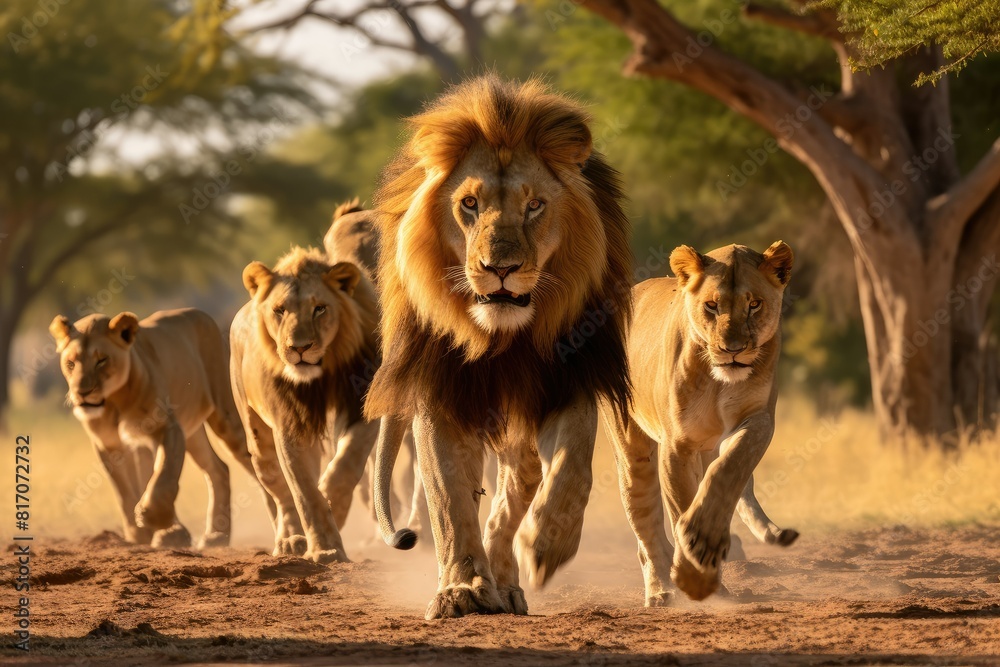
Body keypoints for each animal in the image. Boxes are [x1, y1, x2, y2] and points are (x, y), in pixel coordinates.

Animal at [50, 308, 258, 548]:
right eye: (71, 363)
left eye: (101, 360)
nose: (82, 392)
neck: (114, 401)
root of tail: (200, 313)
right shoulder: (108, 444)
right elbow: (125, 490)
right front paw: (139, 533)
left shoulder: (166, 428)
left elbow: (163, 475)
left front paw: (152, 518)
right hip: (192, 433)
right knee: (219, 469)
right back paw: (216, 535)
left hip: (225, 415)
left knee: (250, 460)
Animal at [229, 245, 380, 563]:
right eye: (279, 310)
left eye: (319, 308)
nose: (299, 348)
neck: (320, 377)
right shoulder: (290, 423)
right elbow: (303, 492)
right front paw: (326, 548)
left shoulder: (360, 406)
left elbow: (347, 465)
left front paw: (334, 504)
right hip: (255, 436)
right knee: (279, 493)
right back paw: (290, 541)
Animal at [365, 76, 633, 619]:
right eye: (469, 204)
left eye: (535, 206)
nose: (500, 269)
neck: (503, 338)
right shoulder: (442, 392)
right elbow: (448, 498)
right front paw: (462, 589)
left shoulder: (568, 378)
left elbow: (573, 469)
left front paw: (546, 546)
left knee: (521, 482)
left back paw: (509, 581)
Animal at [604, 241, 799, 606]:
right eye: (711, 305)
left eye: (754, 304)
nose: (732, 349)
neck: (720, 381)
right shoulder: (678, 445)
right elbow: (681, 505)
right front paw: (695, 576)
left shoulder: (758, 419)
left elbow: (727, 473)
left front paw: (704, 547)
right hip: (632, 451)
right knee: (646, 526)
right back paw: (660, 591)